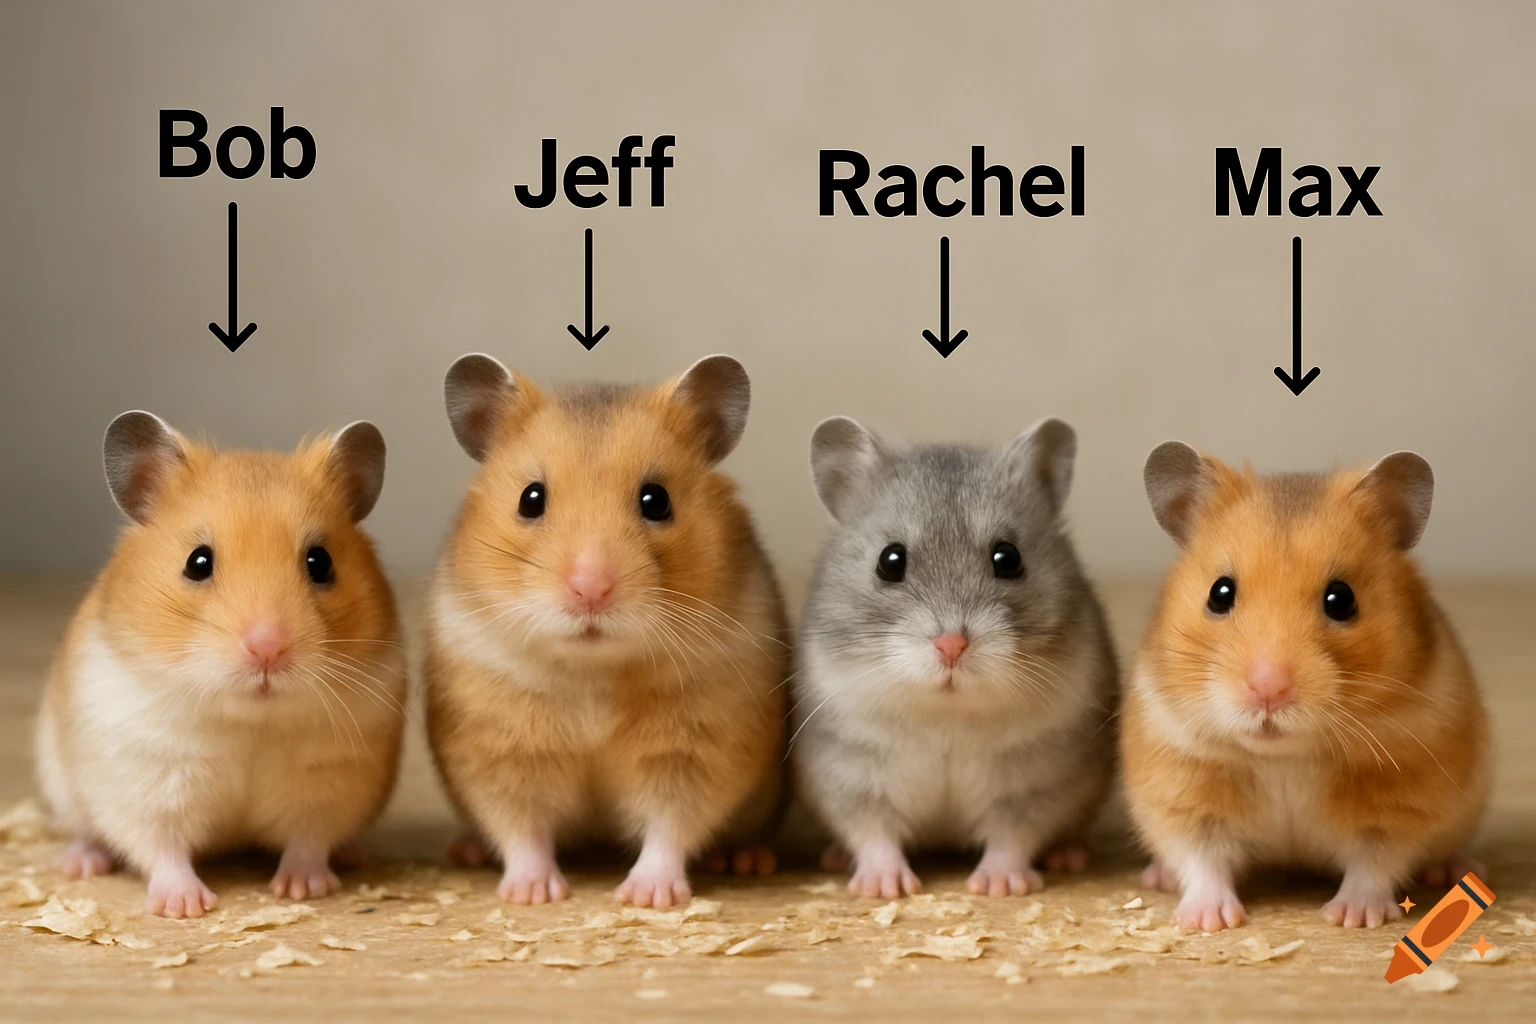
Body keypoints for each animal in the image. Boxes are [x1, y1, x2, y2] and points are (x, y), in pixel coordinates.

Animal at [35, 412, 406, 918]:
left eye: (320, 561)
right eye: (198, 562)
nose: (267, 647)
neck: (249, 719)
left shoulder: (331, 781)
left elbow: (308, 840)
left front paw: (302, 890)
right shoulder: (146, 780)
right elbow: (161, 847)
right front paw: (184, 907)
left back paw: (353, 856)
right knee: (89, 832)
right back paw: (79, 863)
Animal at [425, 354, 789, 908]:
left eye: (656, 500)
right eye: (530, 499)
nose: (590, 589)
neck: (593, 670)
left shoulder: (695, 751)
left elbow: (670, 825)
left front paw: (647, 896)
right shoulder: (499, 751)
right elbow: (520, 827)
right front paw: (533, 894)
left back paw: (747, 858)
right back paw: (467, 852)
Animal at [792, 417, 1119, 899]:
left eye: (1008, 558)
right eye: (890, 560)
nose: (951, 645)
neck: (947, 713)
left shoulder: (1036, 784)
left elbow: (1012, 836)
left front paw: (998, 887)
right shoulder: (850, 777)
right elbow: (873, 833)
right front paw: (885, 888)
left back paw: (1069, 856)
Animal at [1122, 443, 1491, 931]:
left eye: (1341, 599)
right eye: (1219, 593)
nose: (1268, 689)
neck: (1286, 758)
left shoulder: (1402, 798)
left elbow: (1375, 862)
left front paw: (1352, 918)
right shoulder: (1179, 790)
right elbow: (1201, 859)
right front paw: (1207, 922)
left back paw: (1456, 868)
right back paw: (1157, 878)